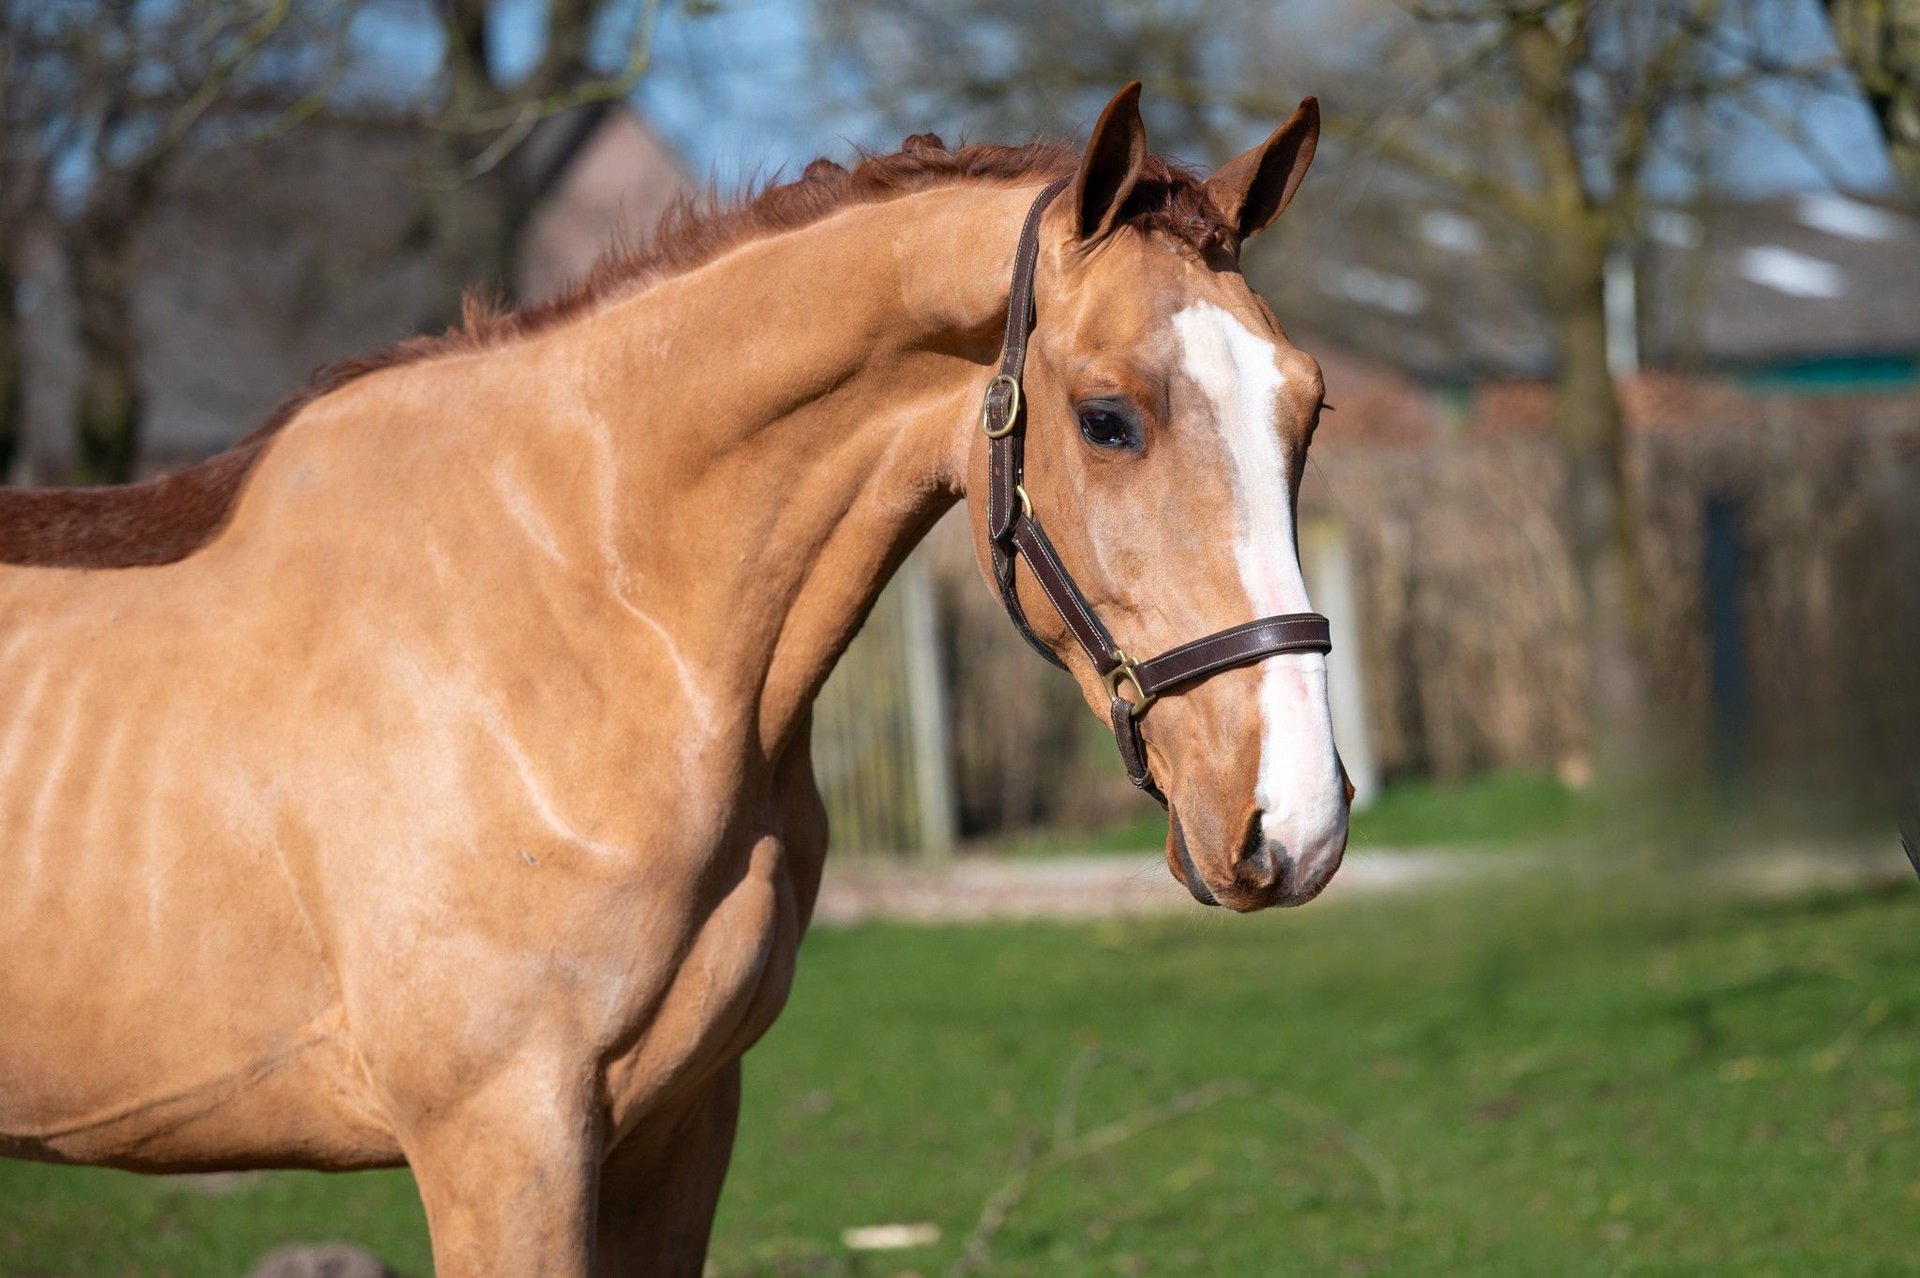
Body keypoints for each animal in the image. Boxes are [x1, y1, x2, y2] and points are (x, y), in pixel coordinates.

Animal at [0, 83, 1347, 1275]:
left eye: (1310, 409)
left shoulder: (680, 1125)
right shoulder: (504, 1142)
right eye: (1108, 417)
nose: (1298, 824)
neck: (589, 626)